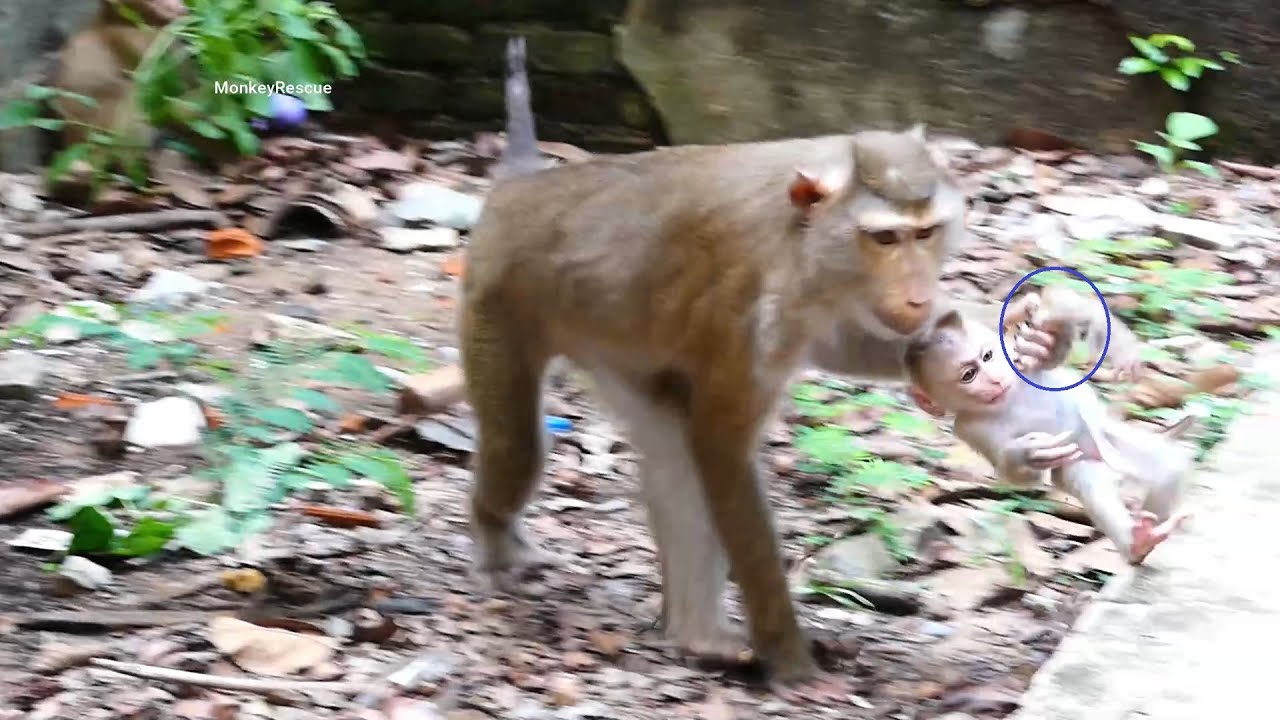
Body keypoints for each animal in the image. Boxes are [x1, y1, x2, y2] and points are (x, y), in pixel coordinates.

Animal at [903, 305, 1194, 565]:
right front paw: (1028, 454)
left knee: (1168, 466)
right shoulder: (968, 427)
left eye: (988, 356)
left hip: (1108, 439)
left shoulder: (1017, 362)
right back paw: (1139, 542)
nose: (995, 381)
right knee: (1084, 479)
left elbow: (1069, 324)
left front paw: (1049, 345)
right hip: (1084, 458)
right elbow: (1014, 473)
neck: (1006, 398)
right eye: (968, 375)